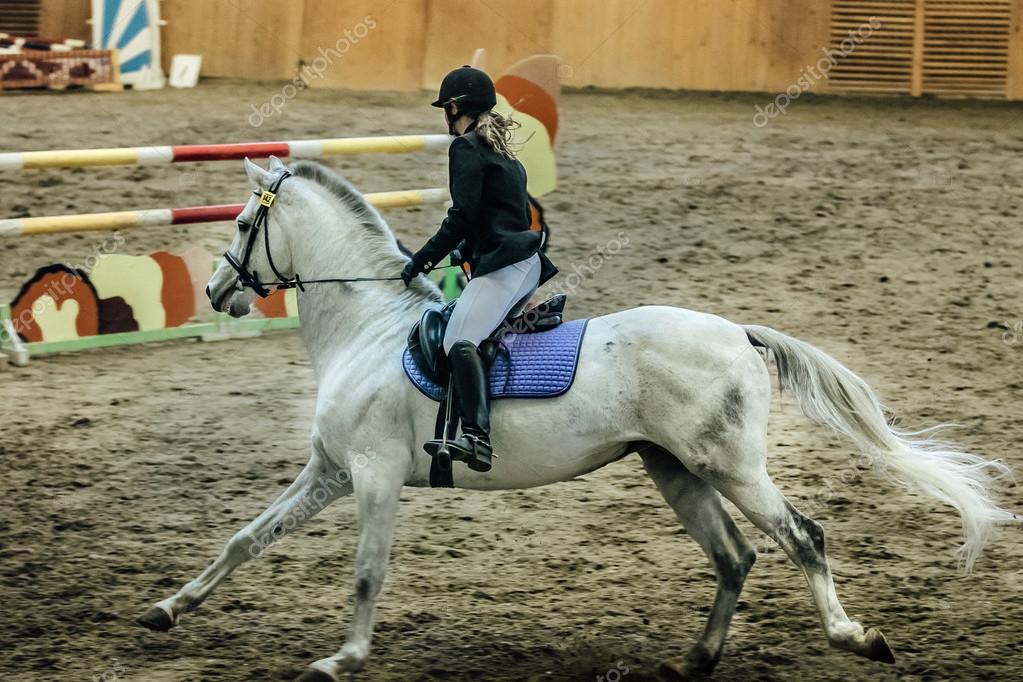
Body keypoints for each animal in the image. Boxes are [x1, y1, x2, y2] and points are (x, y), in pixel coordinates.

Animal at [137, 157, 1018, 681]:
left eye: (242, 223)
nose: (218, 291)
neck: (370, 327)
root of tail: (737, 332)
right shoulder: (328, 469)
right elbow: (245, 539)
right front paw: (167, 611)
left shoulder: (375, 475)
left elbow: (366, 571)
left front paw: (342, 658)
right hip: (675, 469)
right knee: (734, 557)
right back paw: (694, 661)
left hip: (729, 465)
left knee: (801, 537)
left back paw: (853, 637)